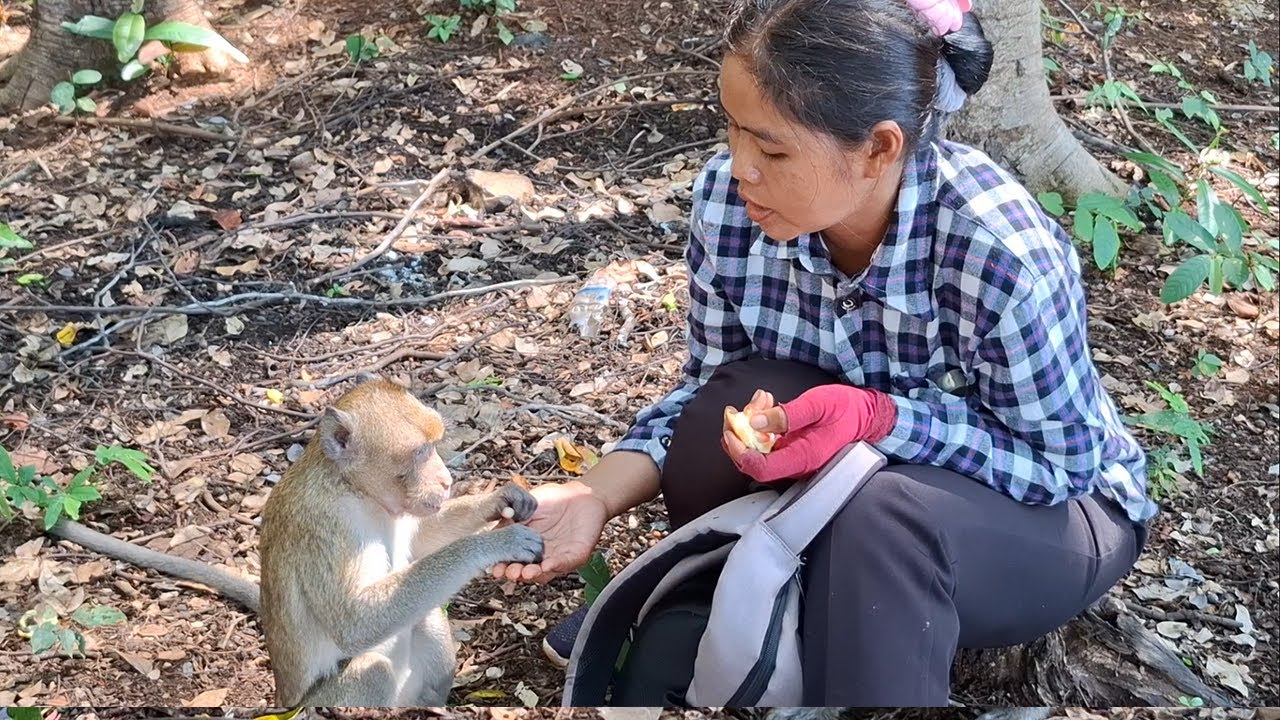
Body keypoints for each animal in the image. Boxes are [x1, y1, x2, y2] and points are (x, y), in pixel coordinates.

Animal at [37, 374, 543, 707]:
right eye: (420, 453)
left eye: (435, 445)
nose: (445, 479)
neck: (352, 488)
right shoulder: (327, 527)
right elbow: (356, 623)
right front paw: (494, 544)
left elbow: (422, 542)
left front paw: (502, 499)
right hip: (322, 705)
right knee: (375, 667)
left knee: (426, 618)